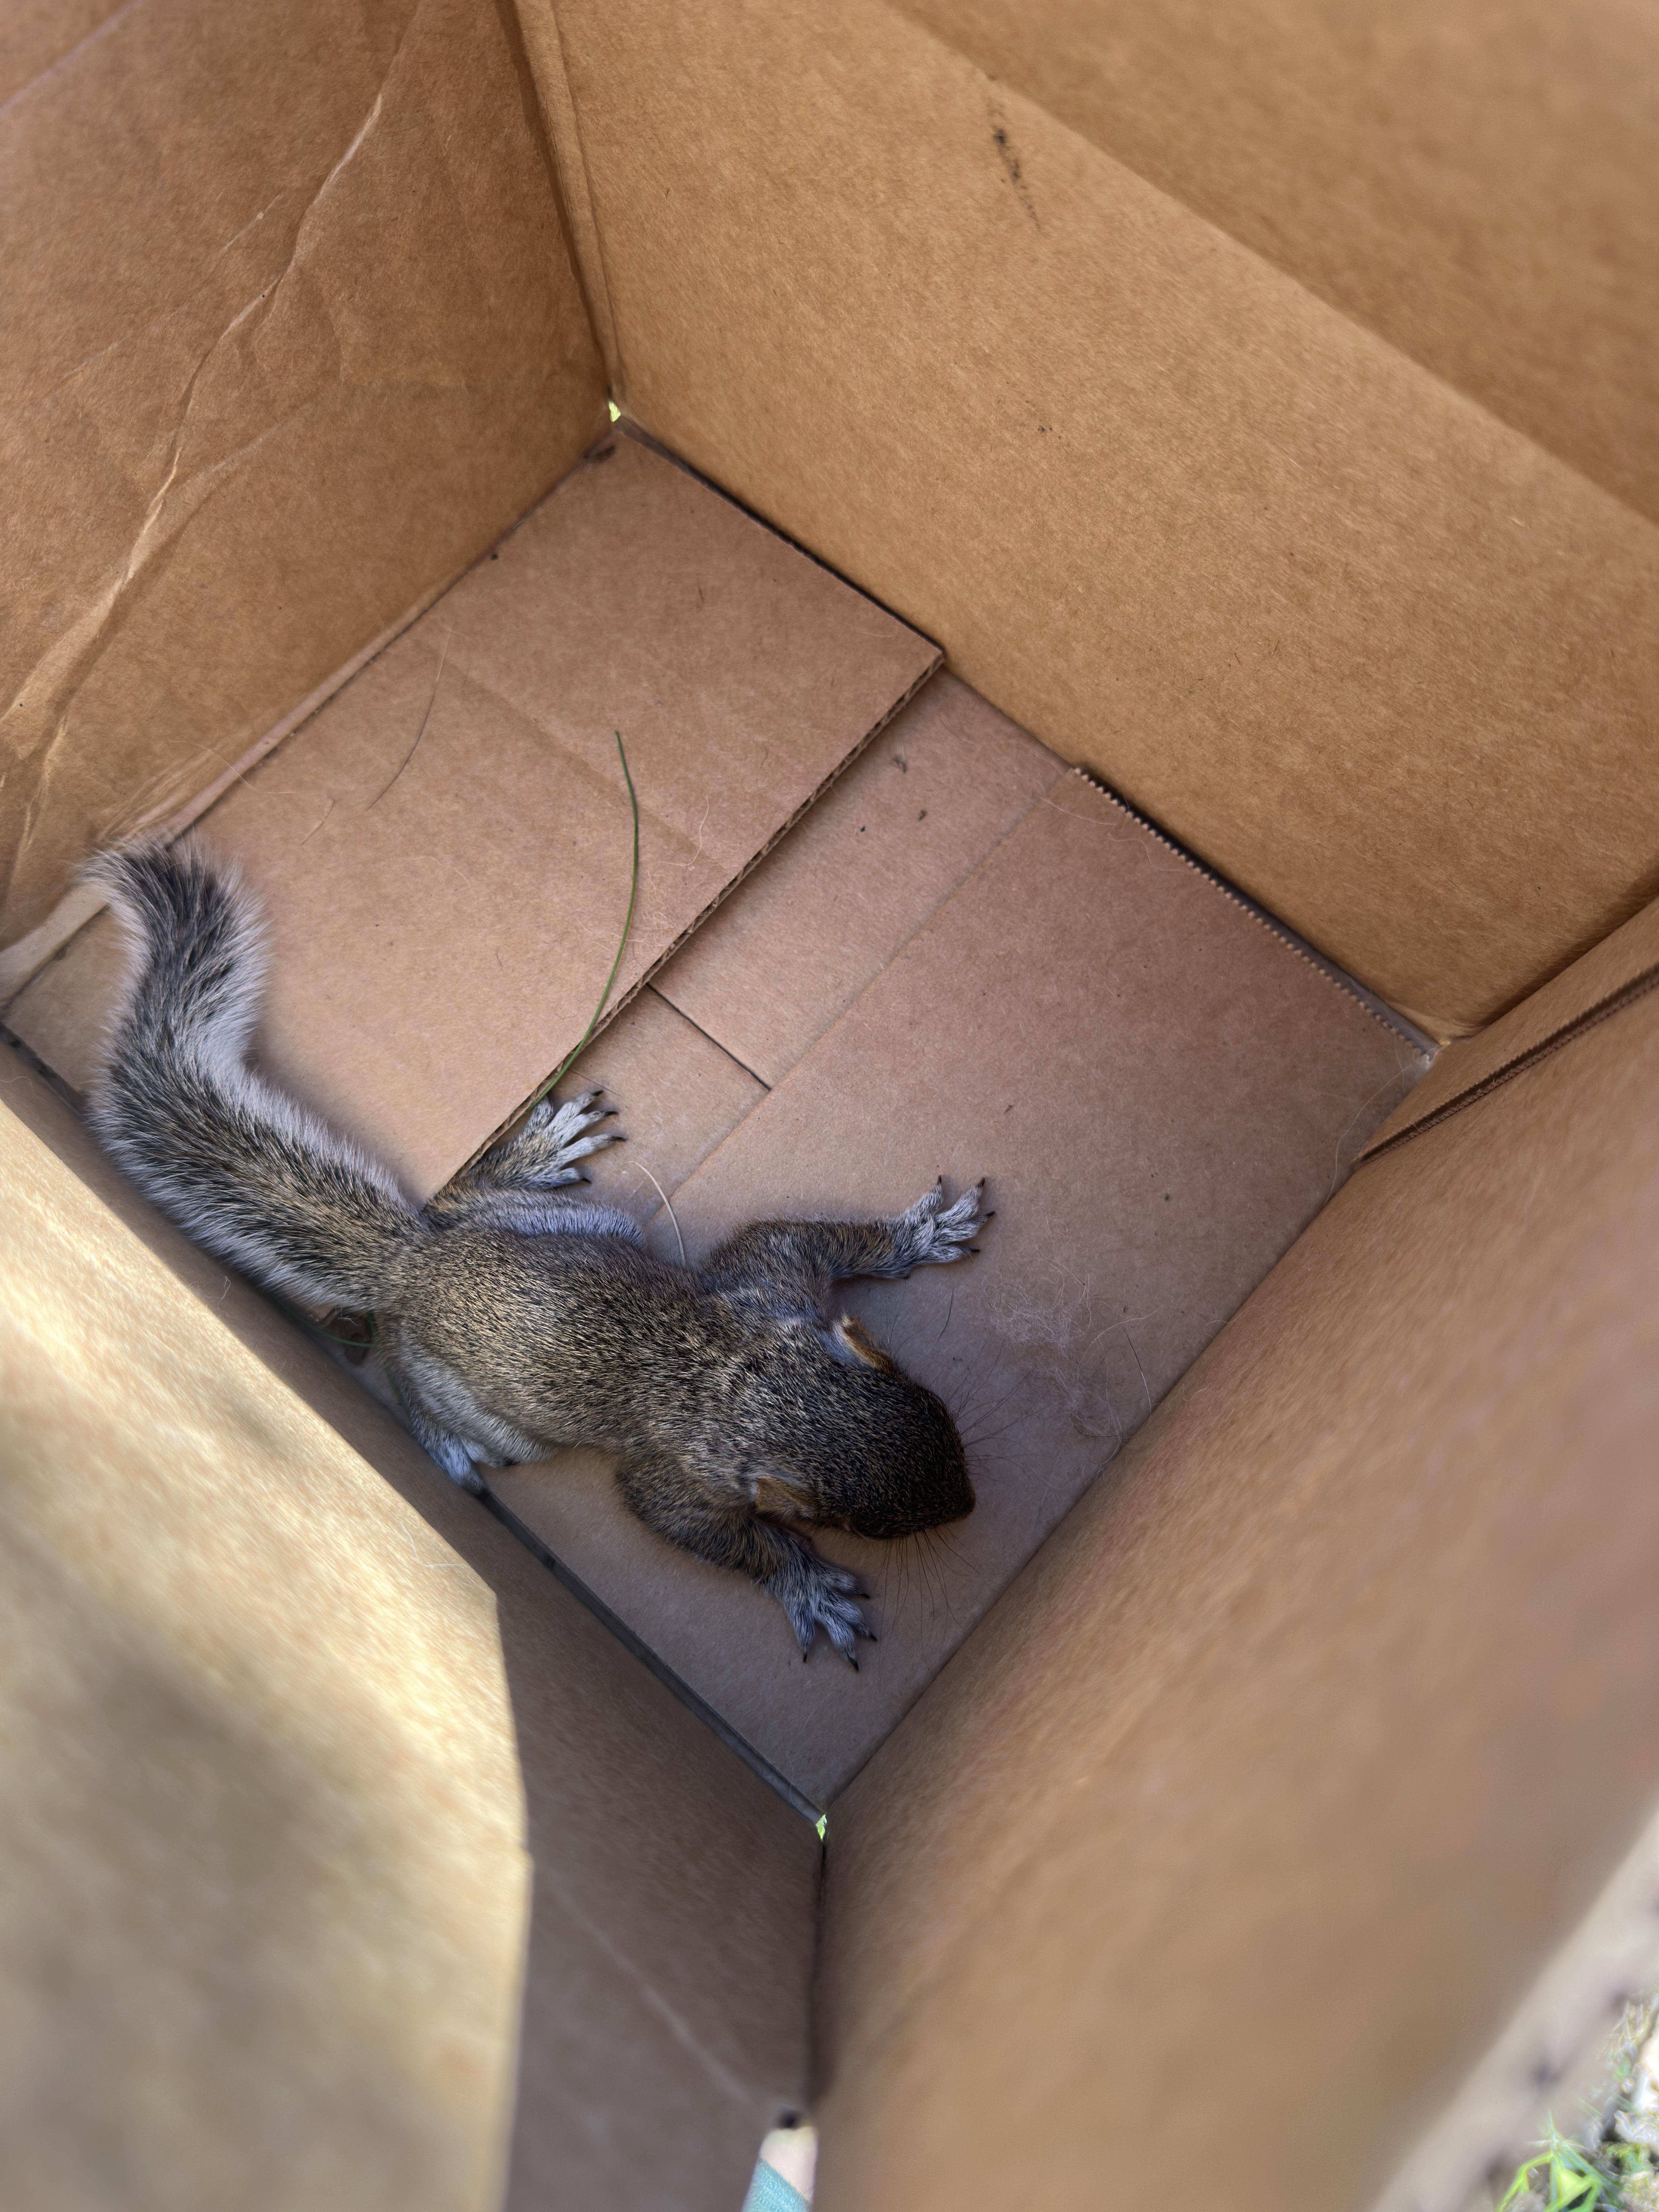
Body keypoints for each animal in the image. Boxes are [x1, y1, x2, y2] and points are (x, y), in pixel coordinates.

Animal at [84, 843, 986, 1662]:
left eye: (932, 1403)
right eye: (862, 1524)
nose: (974, 1505)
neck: (749, 1383)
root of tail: (414, 1269)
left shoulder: (774, 1279)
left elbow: (821, 1238)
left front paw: (918, 1236)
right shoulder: (680, 1478)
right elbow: (711, 1534)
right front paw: (806, 1587)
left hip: (578, 1224)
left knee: (458, 1201)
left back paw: (533, 1155)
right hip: (493, 1409)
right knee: (403, 1372)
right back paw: (446, 1440)